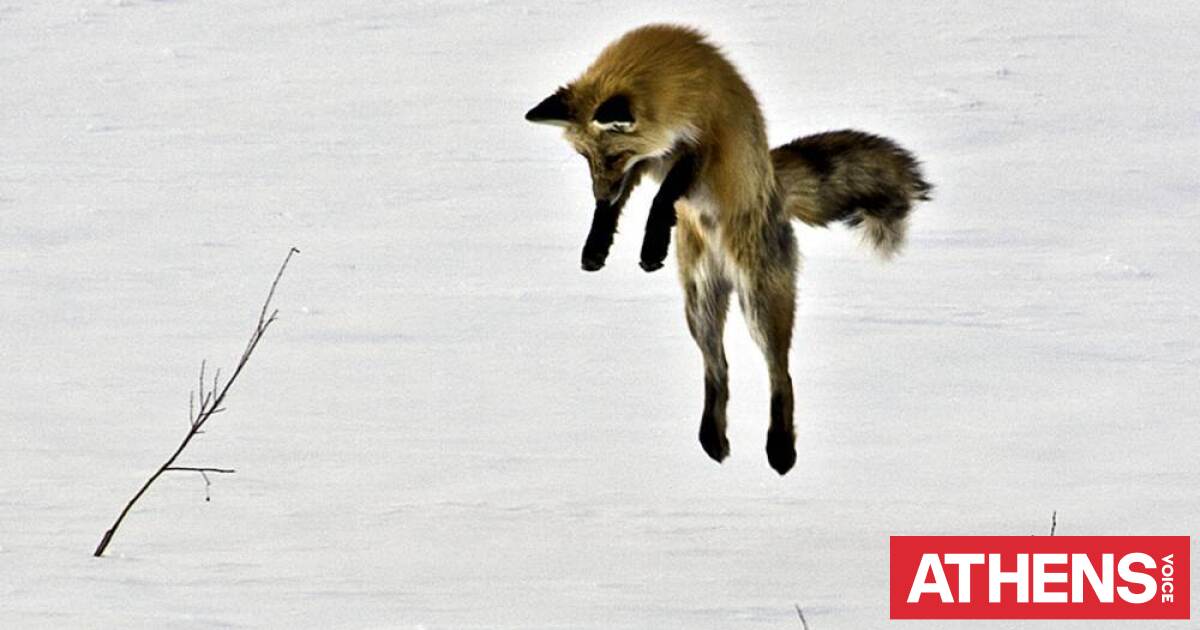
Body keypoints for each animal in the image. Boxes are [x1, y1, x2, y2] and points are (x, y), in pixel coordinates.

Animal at [525, 24, 931, 475]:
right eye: (585, 156)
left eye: (614, 154)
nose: (599, 190)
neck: (671, 79)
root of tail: (775, 187)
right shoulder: (648, 161)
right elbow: (613, 211)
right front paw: (597, 246)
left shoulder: (703, 143)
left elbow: (663, 197)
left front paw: (652, 243)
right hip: (700, 304)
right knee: (717, 369)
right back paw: (714, 441)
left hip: (759, 300)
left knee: (780, 374)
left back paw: (780, 448)